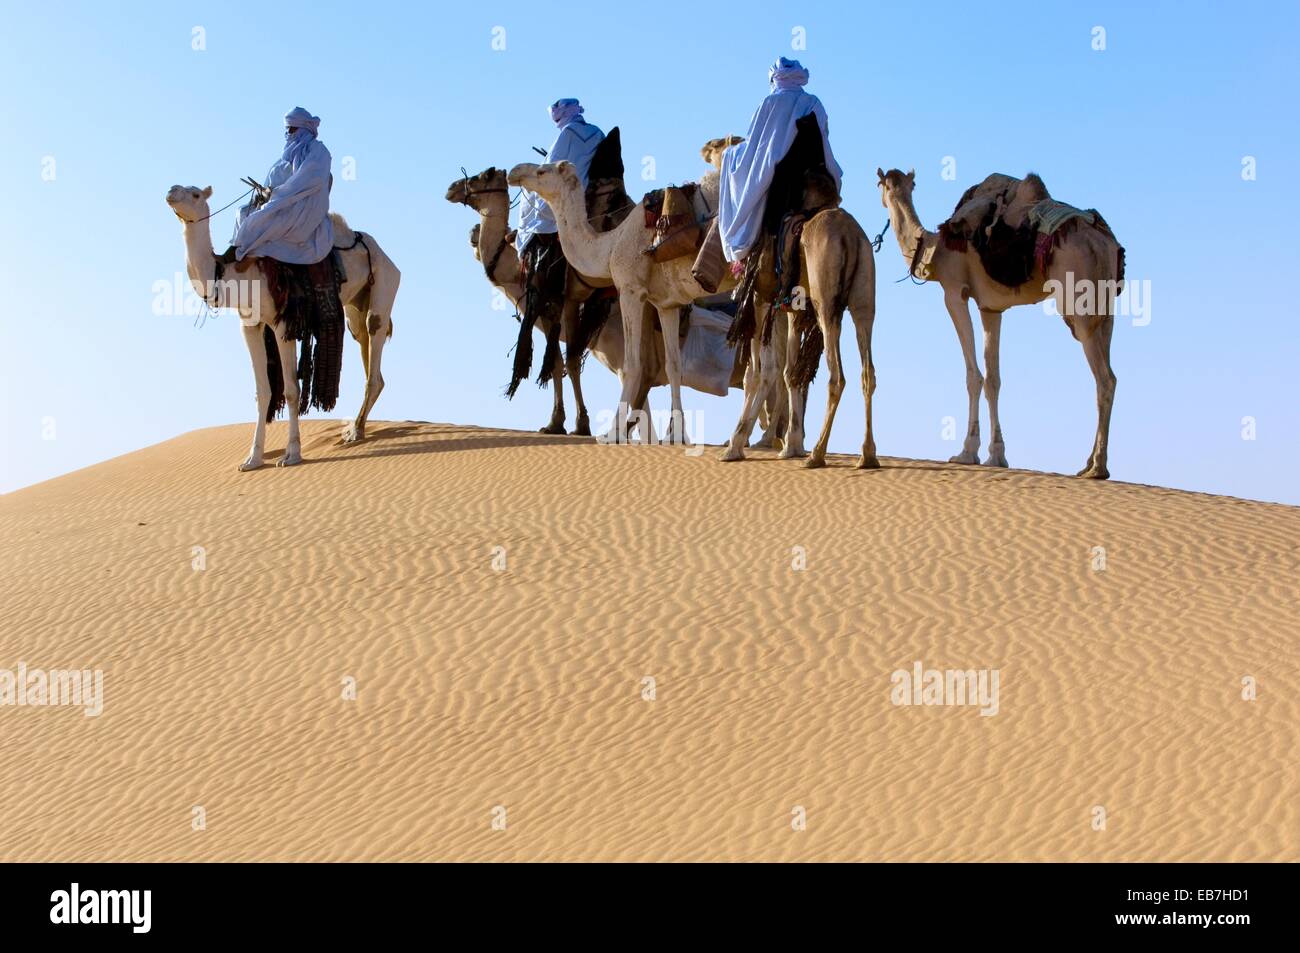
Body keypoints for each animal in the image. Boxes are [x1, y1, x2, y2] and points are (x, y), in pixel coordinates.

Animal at [165, 185, 400, 469]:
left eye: (196, 194)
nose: (171, 191)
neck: (237, 275)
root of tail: (384, 253)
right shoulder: (250, 325)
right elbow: (263, 392)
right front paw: (252, 459)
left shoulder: (282, 323)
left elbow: (291, 390)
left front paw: (292, 455)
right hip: (355, 306)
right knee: (362, 339)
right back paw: (357, 429)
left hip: (384, 285)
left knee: (374, 346)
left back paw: (354, 431)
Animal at [877, 168, 1120, 478]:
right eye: (886, 183)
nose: (886, 194)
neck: (933, 248)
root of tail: (1107, 243)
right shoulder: (990, 307)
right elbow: (994, 379)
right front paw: (997, 455)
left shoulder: (954, 292)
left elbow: (974, 375)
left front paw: (966, 453)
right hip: (1106, 311)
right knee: (1107, 370)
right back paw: (1089, 463)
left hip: (1080, 304)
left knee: (1105, 378)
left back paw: (1097, 468)